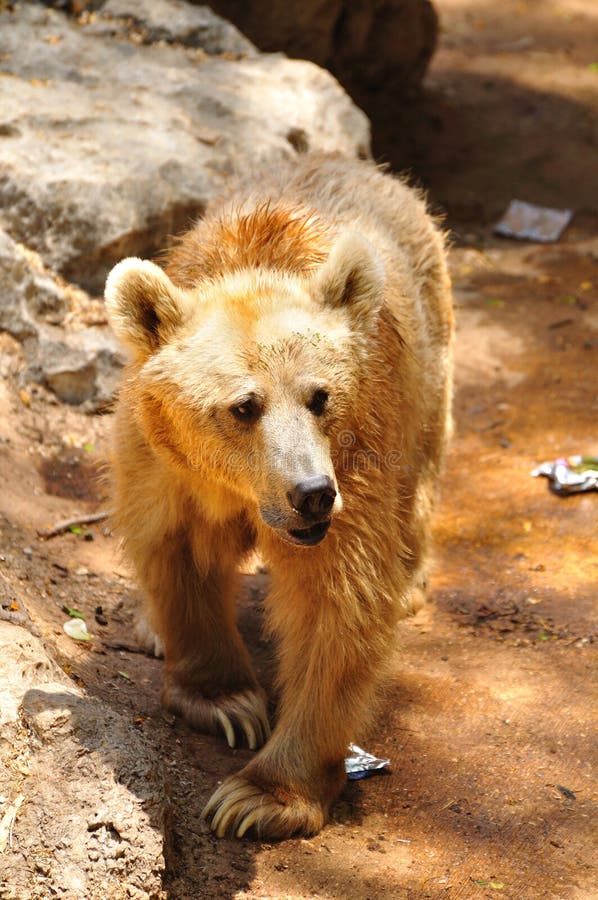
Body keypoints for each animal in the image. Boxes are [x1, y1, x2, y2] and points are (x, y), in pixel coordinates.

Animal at [104, 152, 453, 841]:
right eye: (245, 406)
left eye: (319, 395)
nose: (311, 494)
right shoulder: (163, 464)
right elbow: (176, 555)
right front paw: (226, 701)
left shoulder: (356, 457)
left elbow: (334, 604)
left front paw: (261, 797)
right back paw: (148, 624)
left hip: (425, 374)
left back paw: (412, 580)